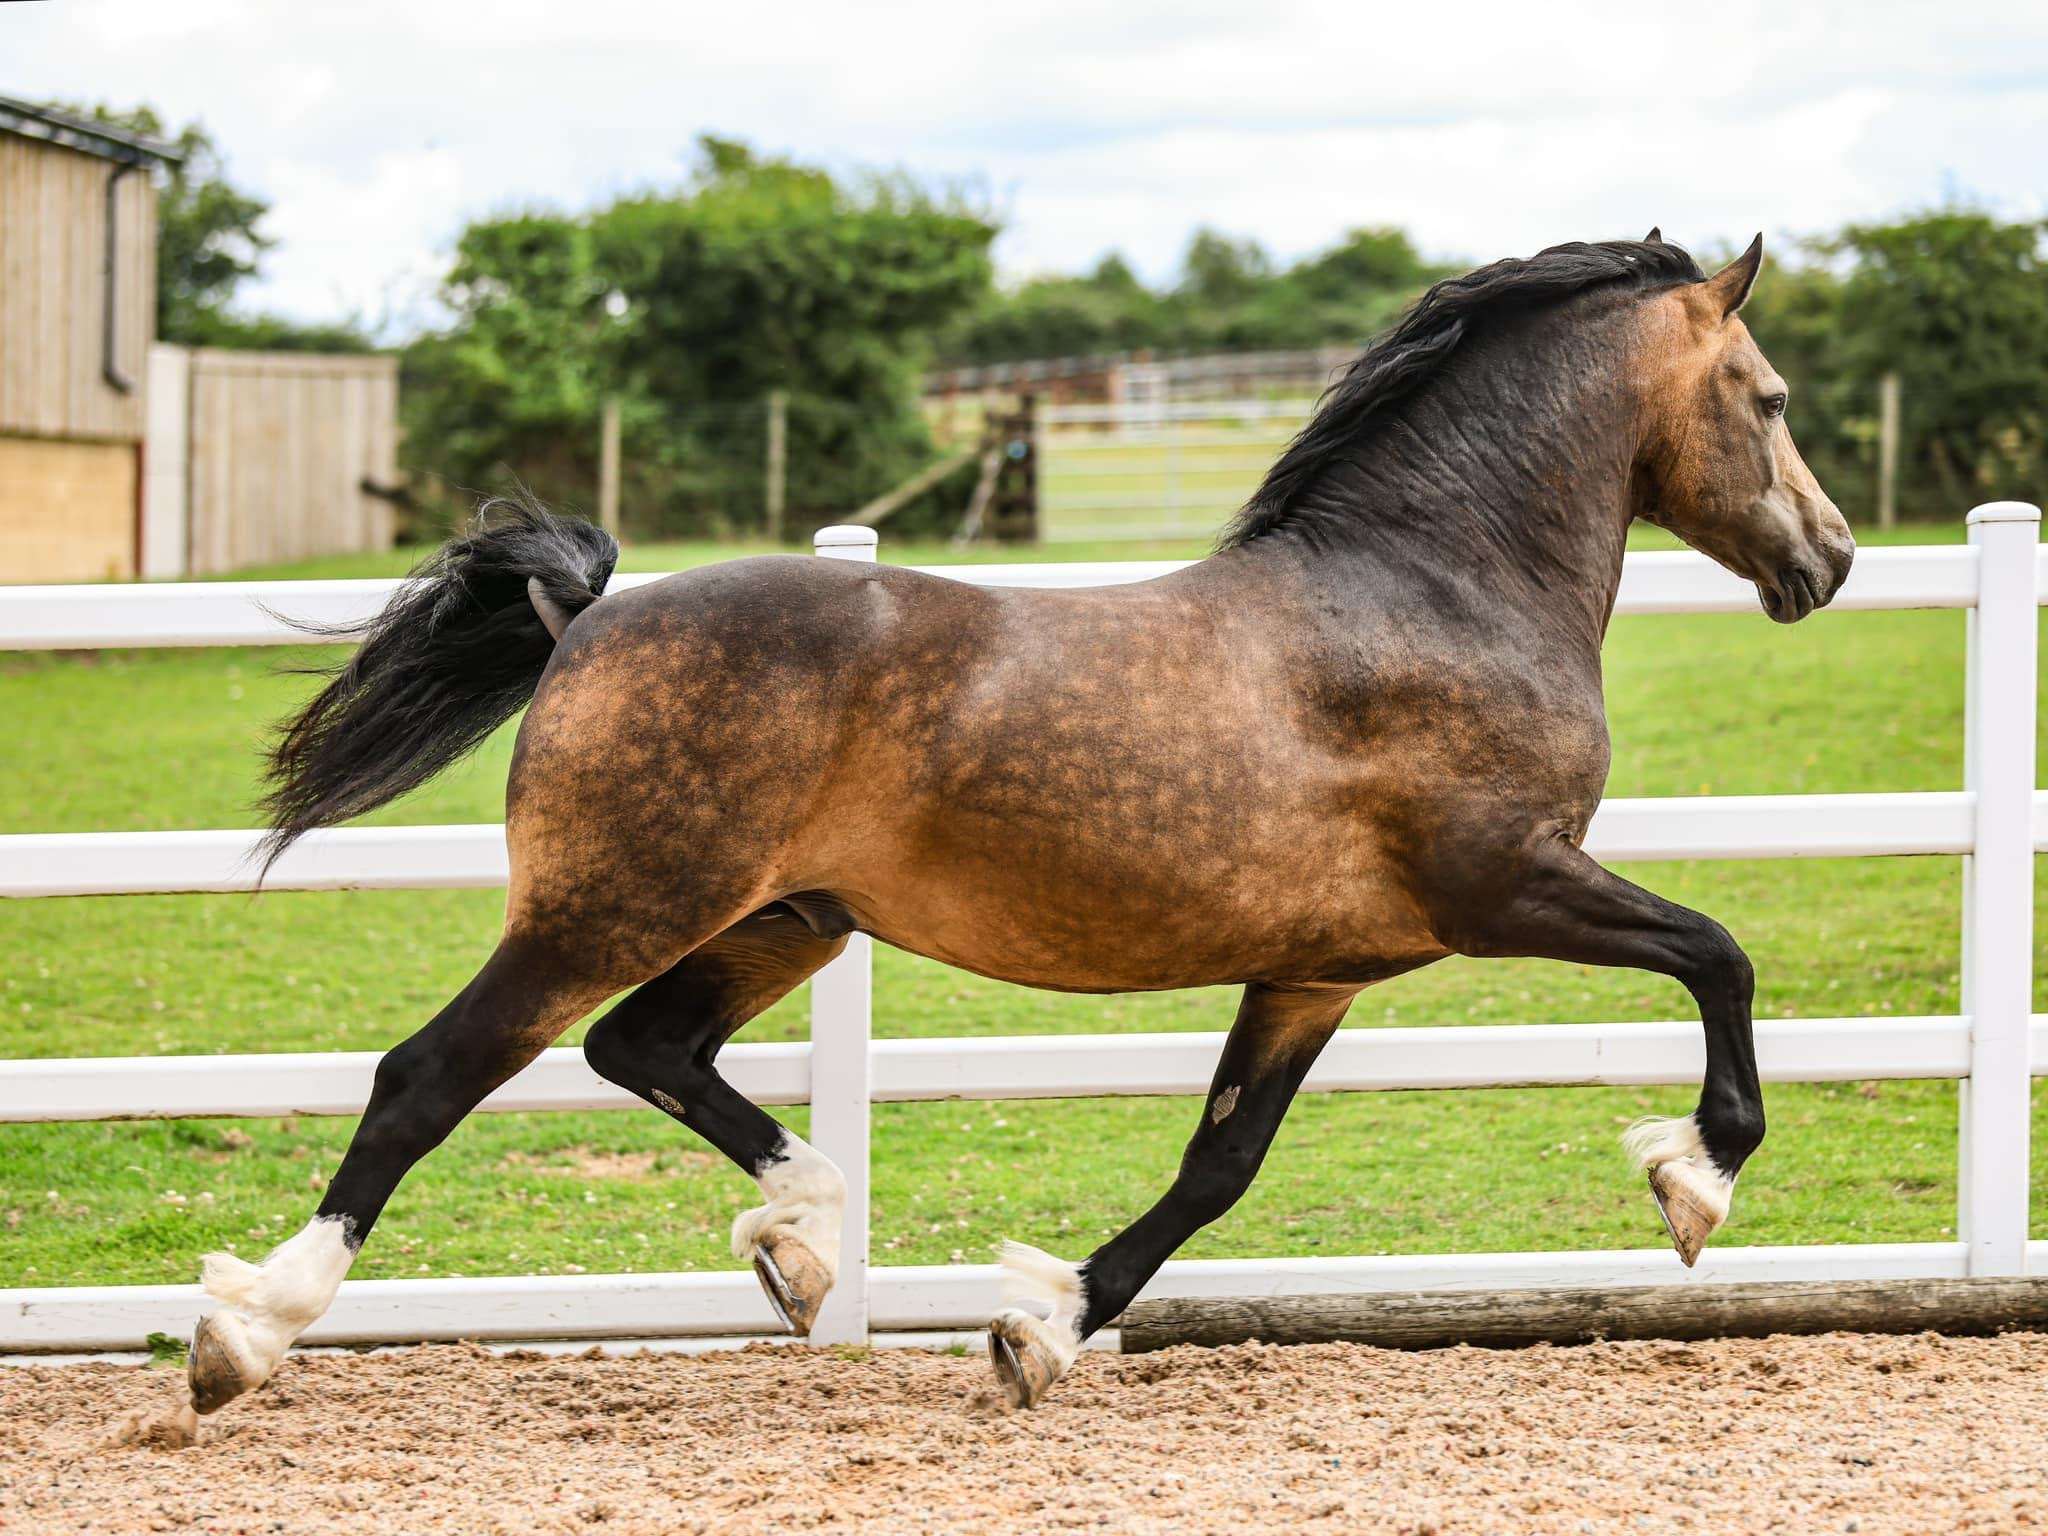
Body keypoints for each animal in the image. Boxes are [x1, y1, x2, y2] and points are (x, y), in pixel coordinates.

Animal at [165, 230, 1851, 1438]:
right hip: (611, 909)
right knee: (432, 1077)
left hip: (784, 920)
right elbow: (1721, 956)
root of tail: (584, 618)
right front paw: (1693, 1182)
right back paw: (243, 1334)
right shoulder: (1502, 886)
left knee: (642, 1048)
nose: (1827, 560)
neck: (1432, 592)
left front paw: (1039, 1329)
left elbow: (1219, 1166)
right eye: (1768, 397)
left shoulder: (1320, 969)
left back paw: (801, 1246)